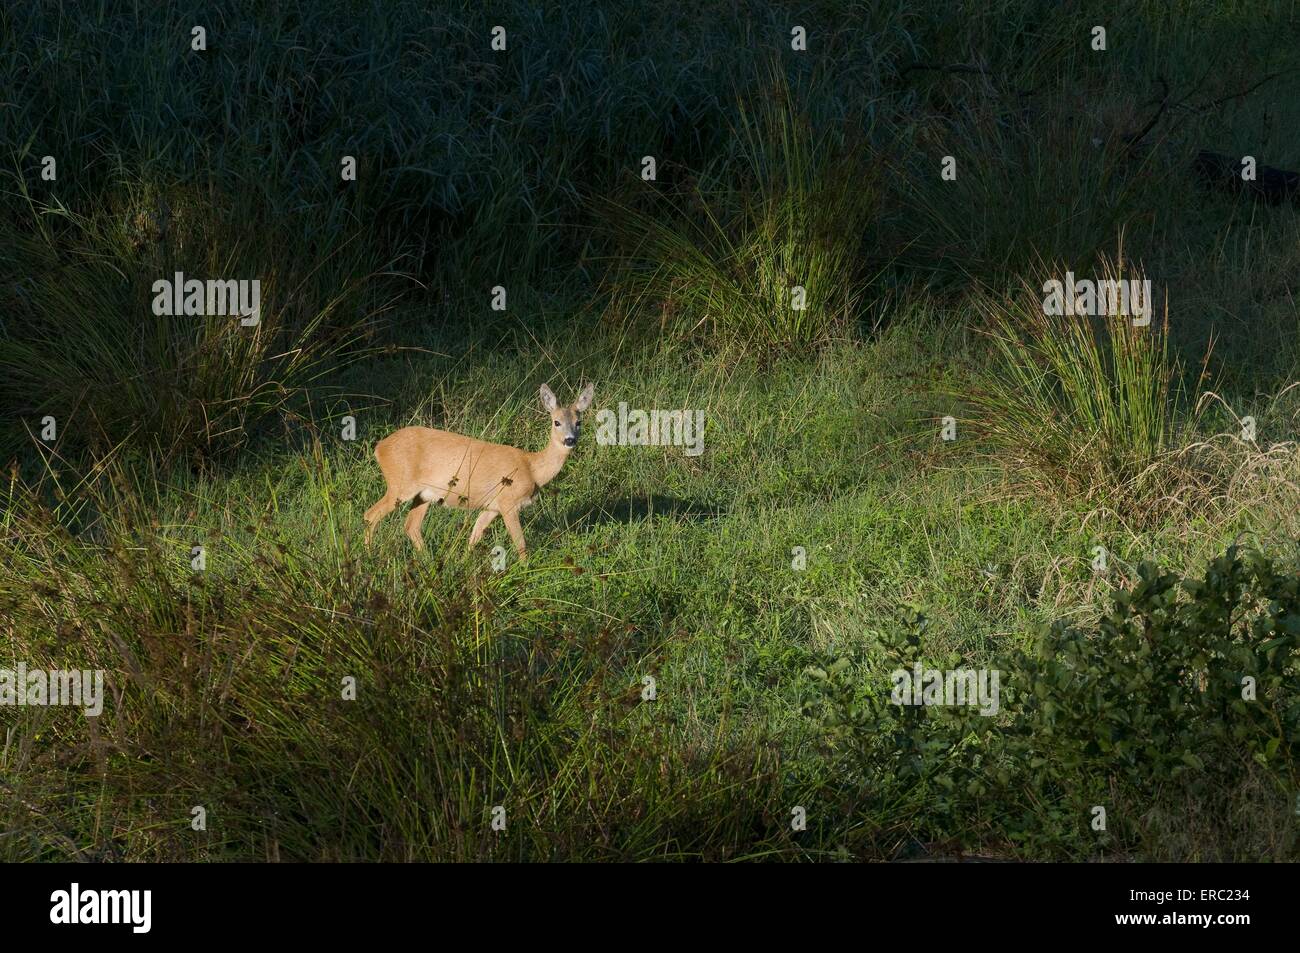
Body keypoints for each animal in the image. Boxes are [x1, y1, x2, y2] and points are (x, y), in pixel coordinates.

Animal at [363, 383, 594, 558]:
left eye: (579, 422)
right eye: (556, 422)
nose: (570, 440)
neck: (532, 468)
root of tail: (379, 448)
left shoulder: (491, 507)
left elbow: (474, 535)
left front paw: (463, 562)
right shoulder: (508, 502)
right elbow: (520, 543)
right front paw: (524, 571)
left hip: (424, 495)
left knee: (411, 526)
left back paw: (428, 561)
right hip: (400, 484)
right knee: (370, 515)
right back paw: (369, 556)